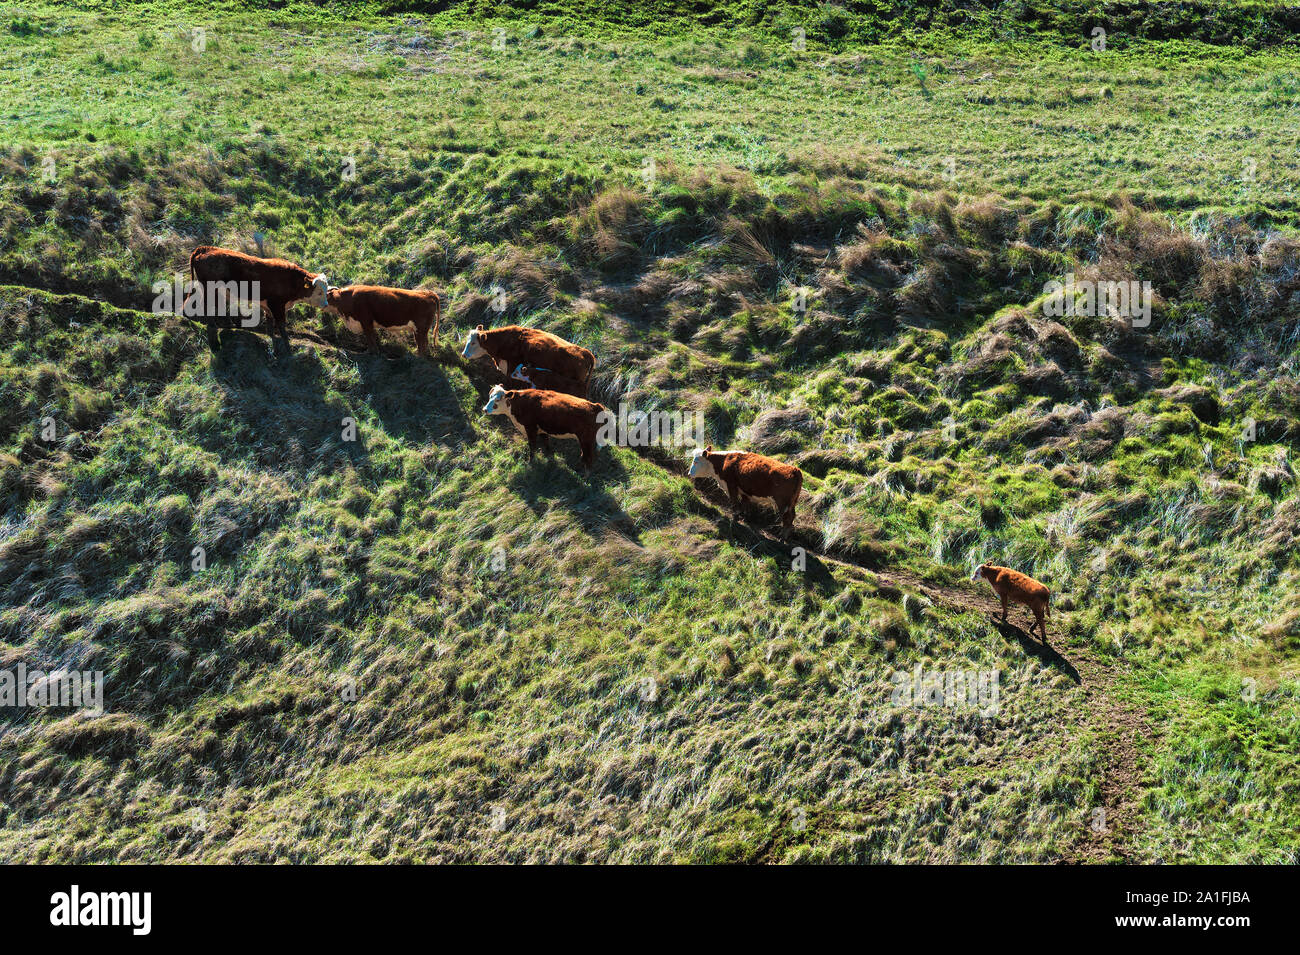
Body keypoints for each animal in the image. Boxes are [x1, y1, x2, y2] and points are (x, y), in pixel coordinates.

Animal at [189, 245, 328, 354]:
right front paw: (287, 346)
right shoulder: (277, 305)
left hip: (222, 292)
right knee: (207, 306)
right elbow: (281, 325)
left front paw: (271, 335)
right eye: (320, 292)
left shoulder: (269, 305)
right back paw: (213, 330)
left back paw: (229, 324)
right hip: (210, 290)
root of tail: (205, 249)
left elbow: (270, 321)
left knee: (222, 305)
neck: (291, 281)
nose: (326, 304)